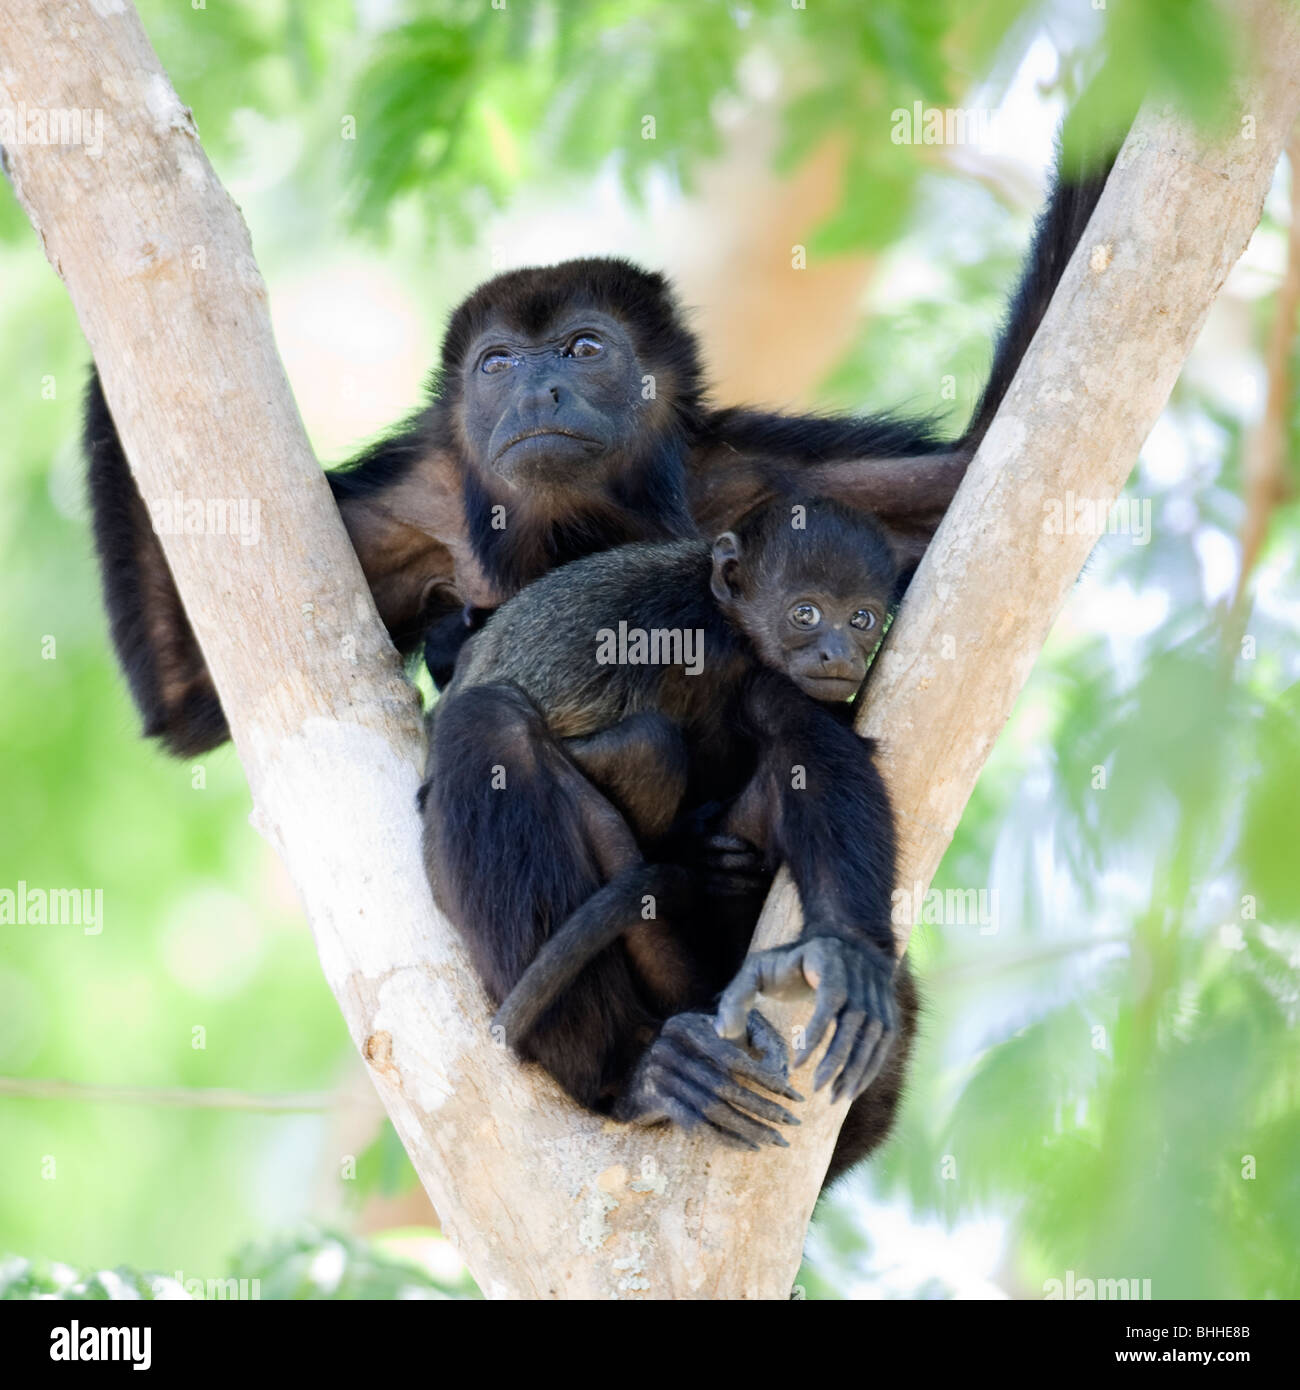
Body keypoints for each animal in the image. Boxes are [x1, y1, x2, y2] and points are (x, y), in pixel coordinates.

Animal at [83, 152, 1113, 757]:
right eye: (499, 362)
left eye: (583, 348)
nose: (538, 389)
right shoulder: (409, 514)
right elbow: (191, 693)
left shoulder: (758, 476)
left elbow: (976, 471)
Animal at [422, 498, 916, 1172]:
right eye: (806, 613)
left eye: (861, 618)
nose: (839, 654)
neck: (727, 622)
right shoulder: (718, 649)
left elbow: (808, 745)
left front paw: (845, 948)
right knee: (513, 726)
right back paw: (636, 1077)